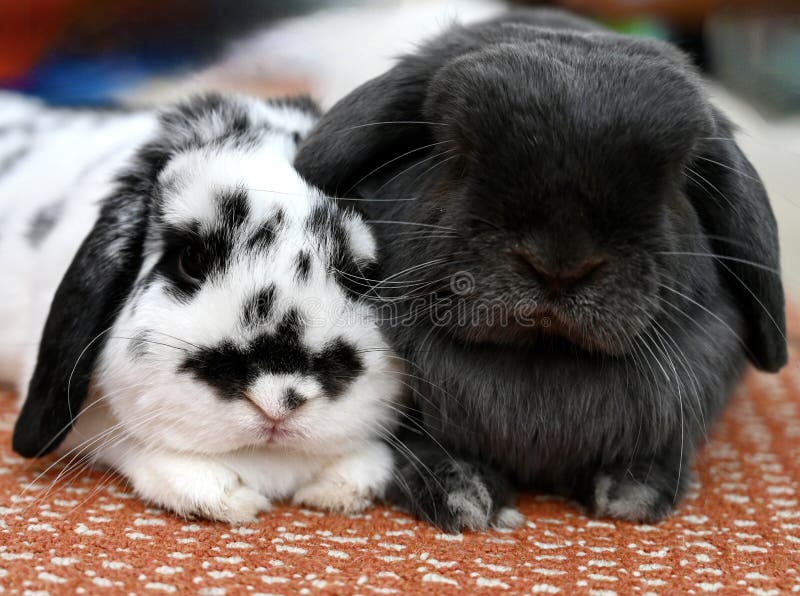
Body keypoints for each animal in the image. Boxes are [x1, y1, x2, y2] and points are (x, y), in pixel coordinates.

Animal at [294, 8, 788, 532]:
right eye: (455, 152)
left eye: (675, 177)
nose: (560, 264)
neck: (544, 357)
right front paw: (460, 492)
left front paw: (633, 493)